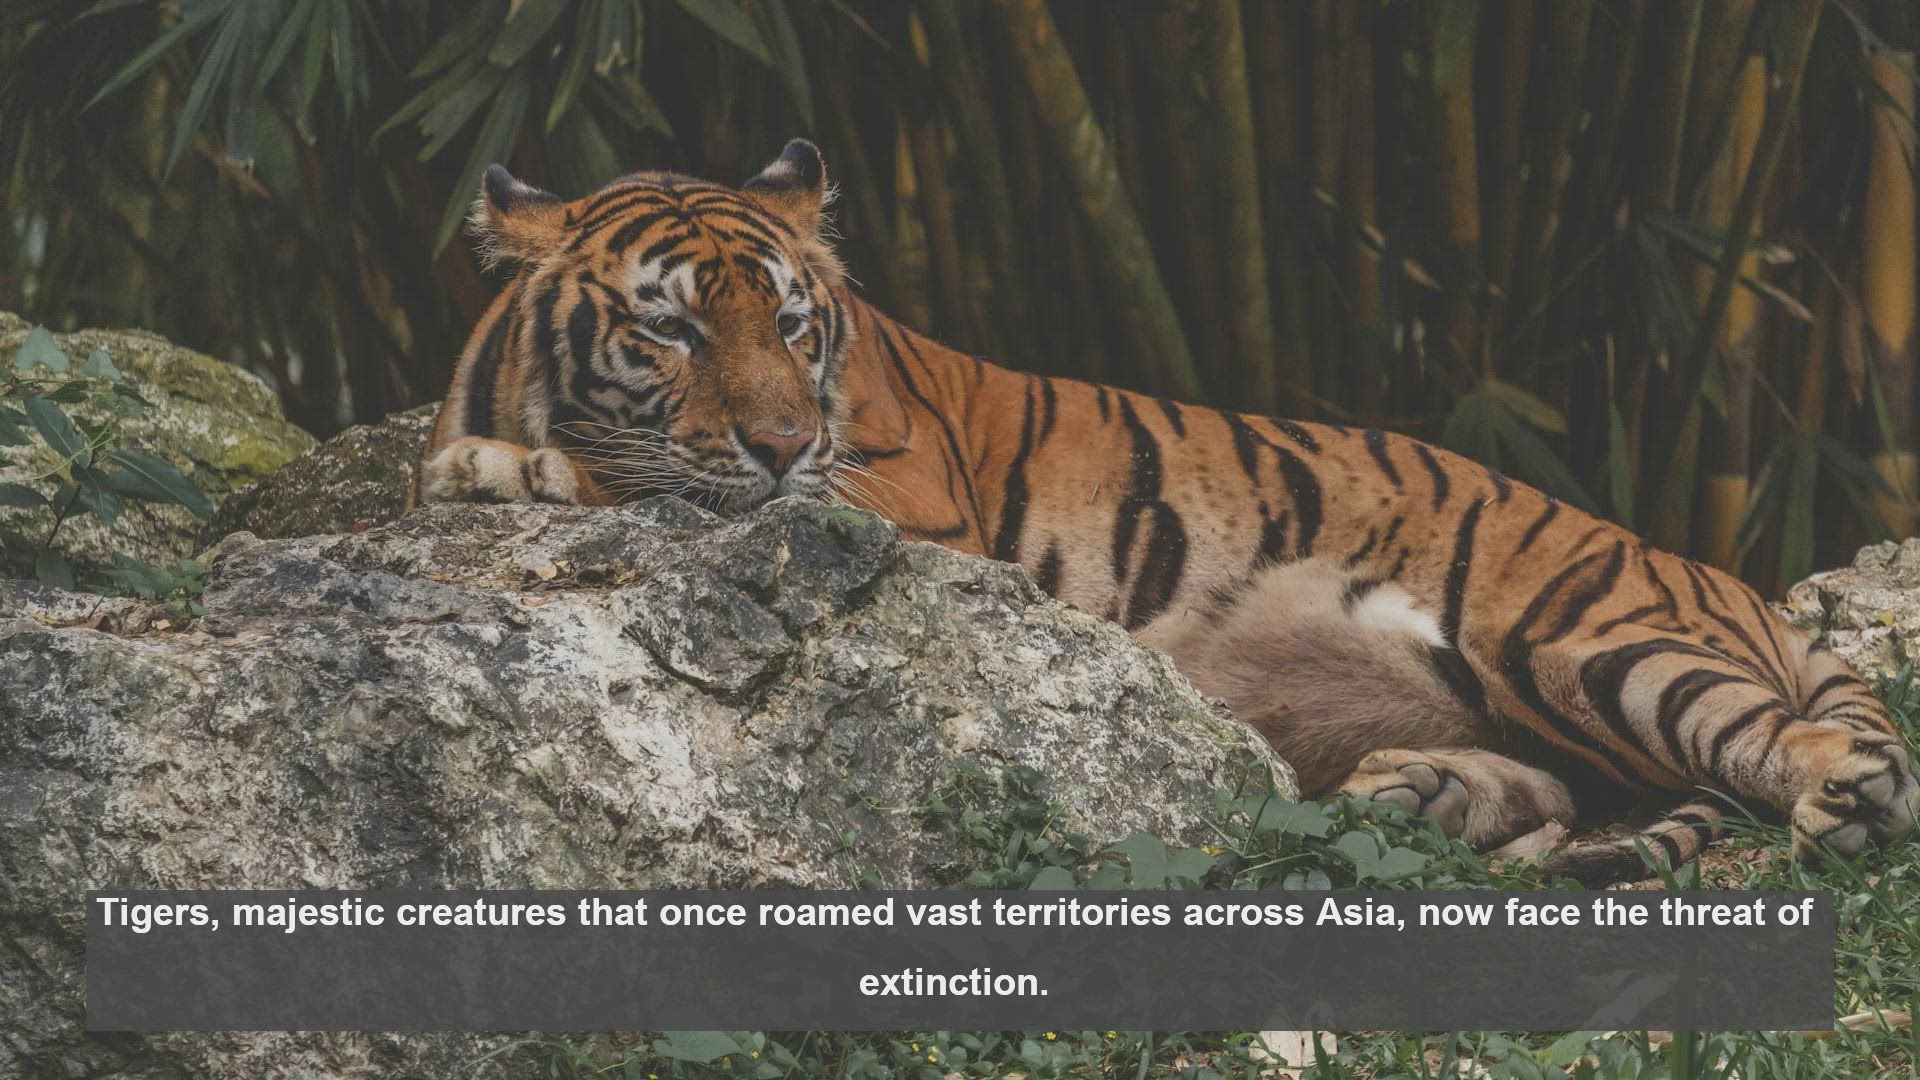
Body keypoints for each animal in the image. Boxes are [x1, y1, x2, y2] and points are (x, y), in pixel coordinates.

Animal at [417, 138, 1918, 884]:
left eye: (791, 325)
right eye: (668, 328)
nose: (785, 440)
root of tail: (1709, 571)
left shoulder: (896, 500)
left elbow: (662, 479)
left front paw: (494, 470)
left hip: (1575, 635)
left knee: (1772, 748)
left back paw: (1846, 797)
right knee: (1582, 783)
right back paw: (1415, 797)